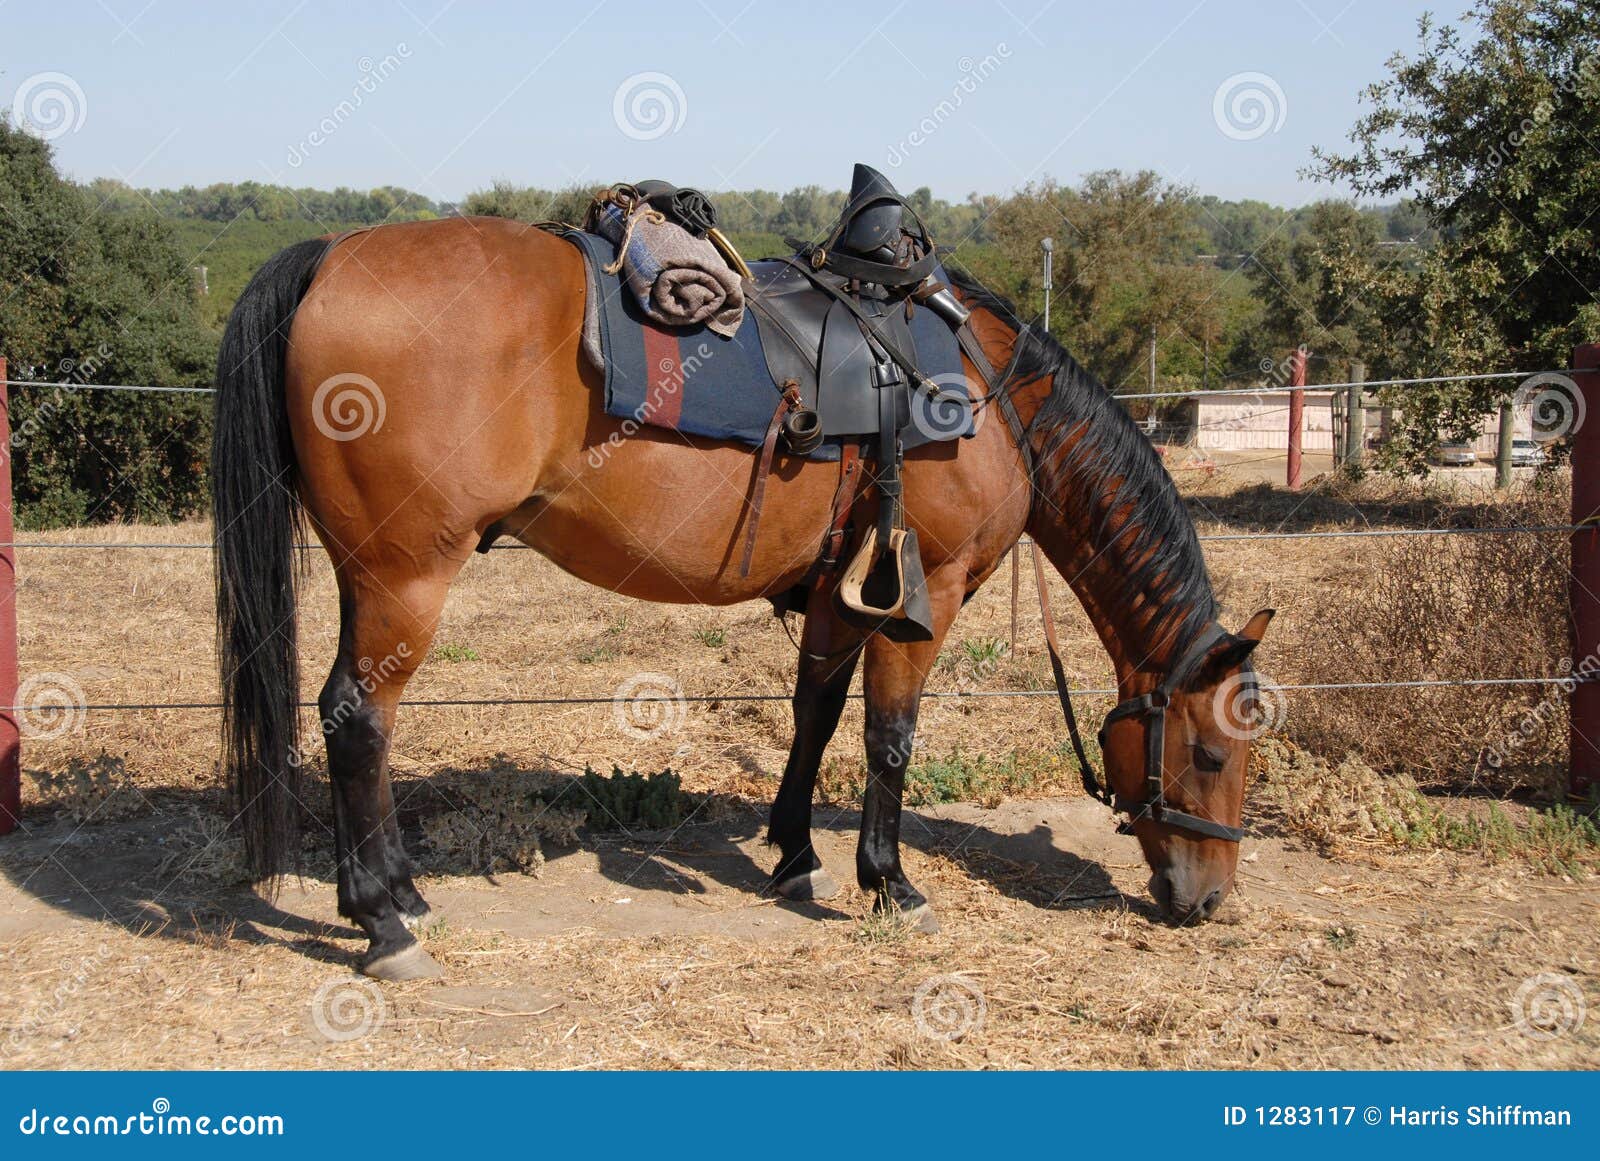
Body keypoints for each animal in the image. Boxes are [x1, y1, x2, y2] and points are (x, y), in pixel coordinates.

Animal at [211, 215, 1273, 980]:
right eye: (1212, 752)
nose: (1212, 898)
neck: (990, 393)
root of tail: (333, 255)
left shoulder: (845, 594)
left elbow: (814, 716)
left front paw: (795, 854)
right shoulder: (926, 593)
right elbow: (889, 738)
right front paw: (891, 882)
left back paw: (404, 893)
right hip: (404, 577)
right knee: (355, 718)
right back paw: (382, 922)